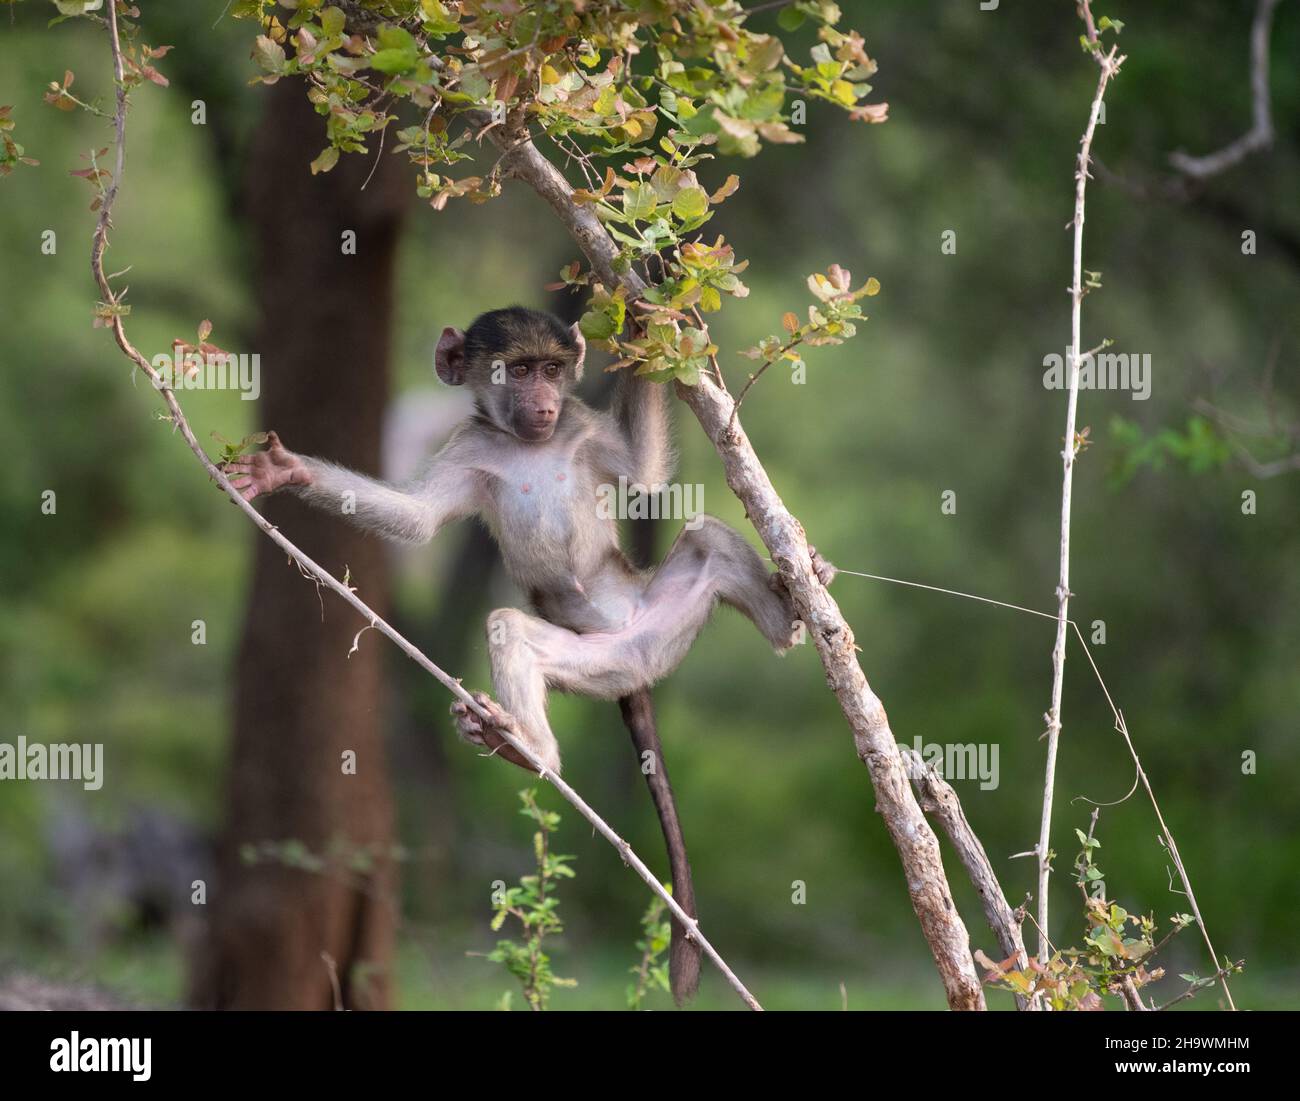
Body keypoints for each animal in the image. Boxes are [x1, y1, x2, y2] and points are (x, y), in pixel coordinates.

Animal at [223, 305, 836, 1002]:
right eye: (516, 370)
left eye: (549, 369)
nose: (542, 402)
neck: (529, 443)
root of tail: (637, 658)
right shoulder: (470, 444)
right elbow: (415, 521)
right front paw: (284, 471)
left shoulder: (580, 425)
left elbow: (647, 476)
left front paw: (646, 309)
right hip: (604, 661)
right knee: (510, 627)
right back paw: (527, 748)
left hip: (660, 624)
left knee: (706, 539)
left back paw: (794, 613)